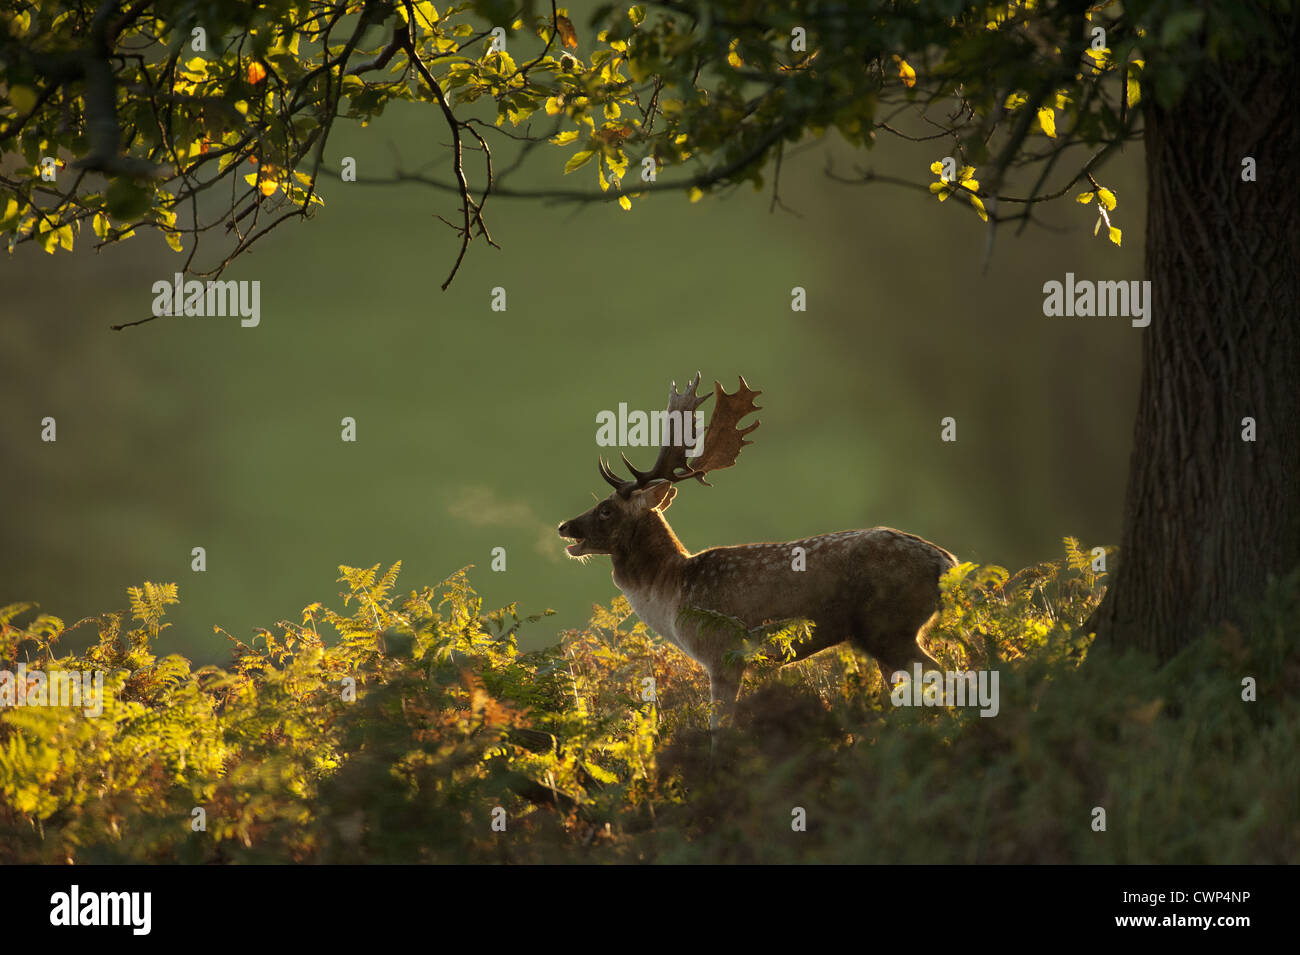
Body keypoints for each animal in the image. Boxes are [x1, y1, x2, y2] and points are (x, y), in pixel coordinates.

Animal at [558, 373, 958, 731]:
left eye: (606, 508)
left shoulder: (723, 652)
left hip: (887, 625)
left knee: (943, 673)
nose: (564, 526)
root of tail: (945, 561)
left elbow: (720, 726)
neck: (671, 593)